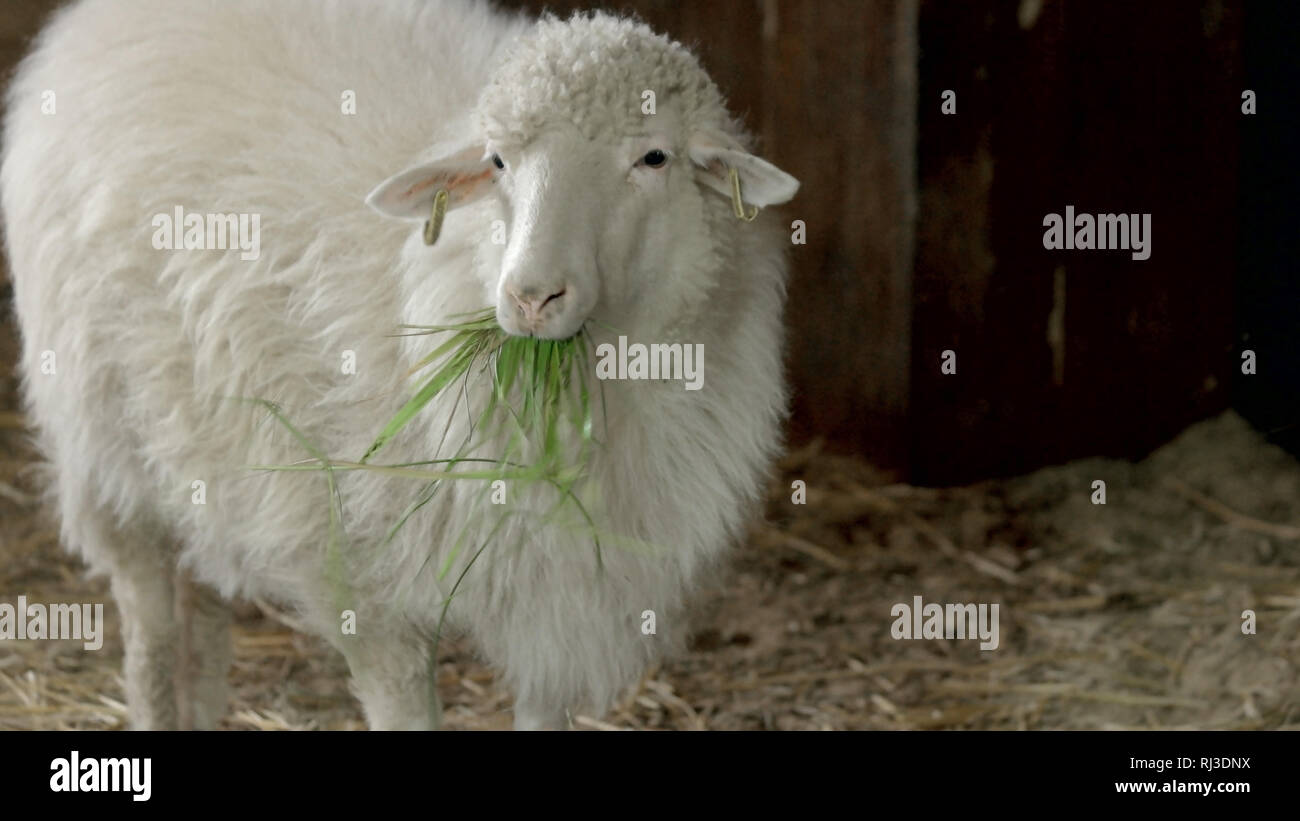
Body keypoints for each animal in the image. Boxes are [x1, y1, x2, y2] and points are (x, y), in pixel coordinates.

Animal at [1, 0, 799, 730]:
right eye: (498, 162)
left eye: (653, 158)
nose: (529, 296)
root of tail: (92, 18)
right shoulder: (370, 594)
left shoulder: (557, 601)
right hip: (105, 443)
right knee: (151, 622)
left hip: (199, 444)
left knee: (201, 602)